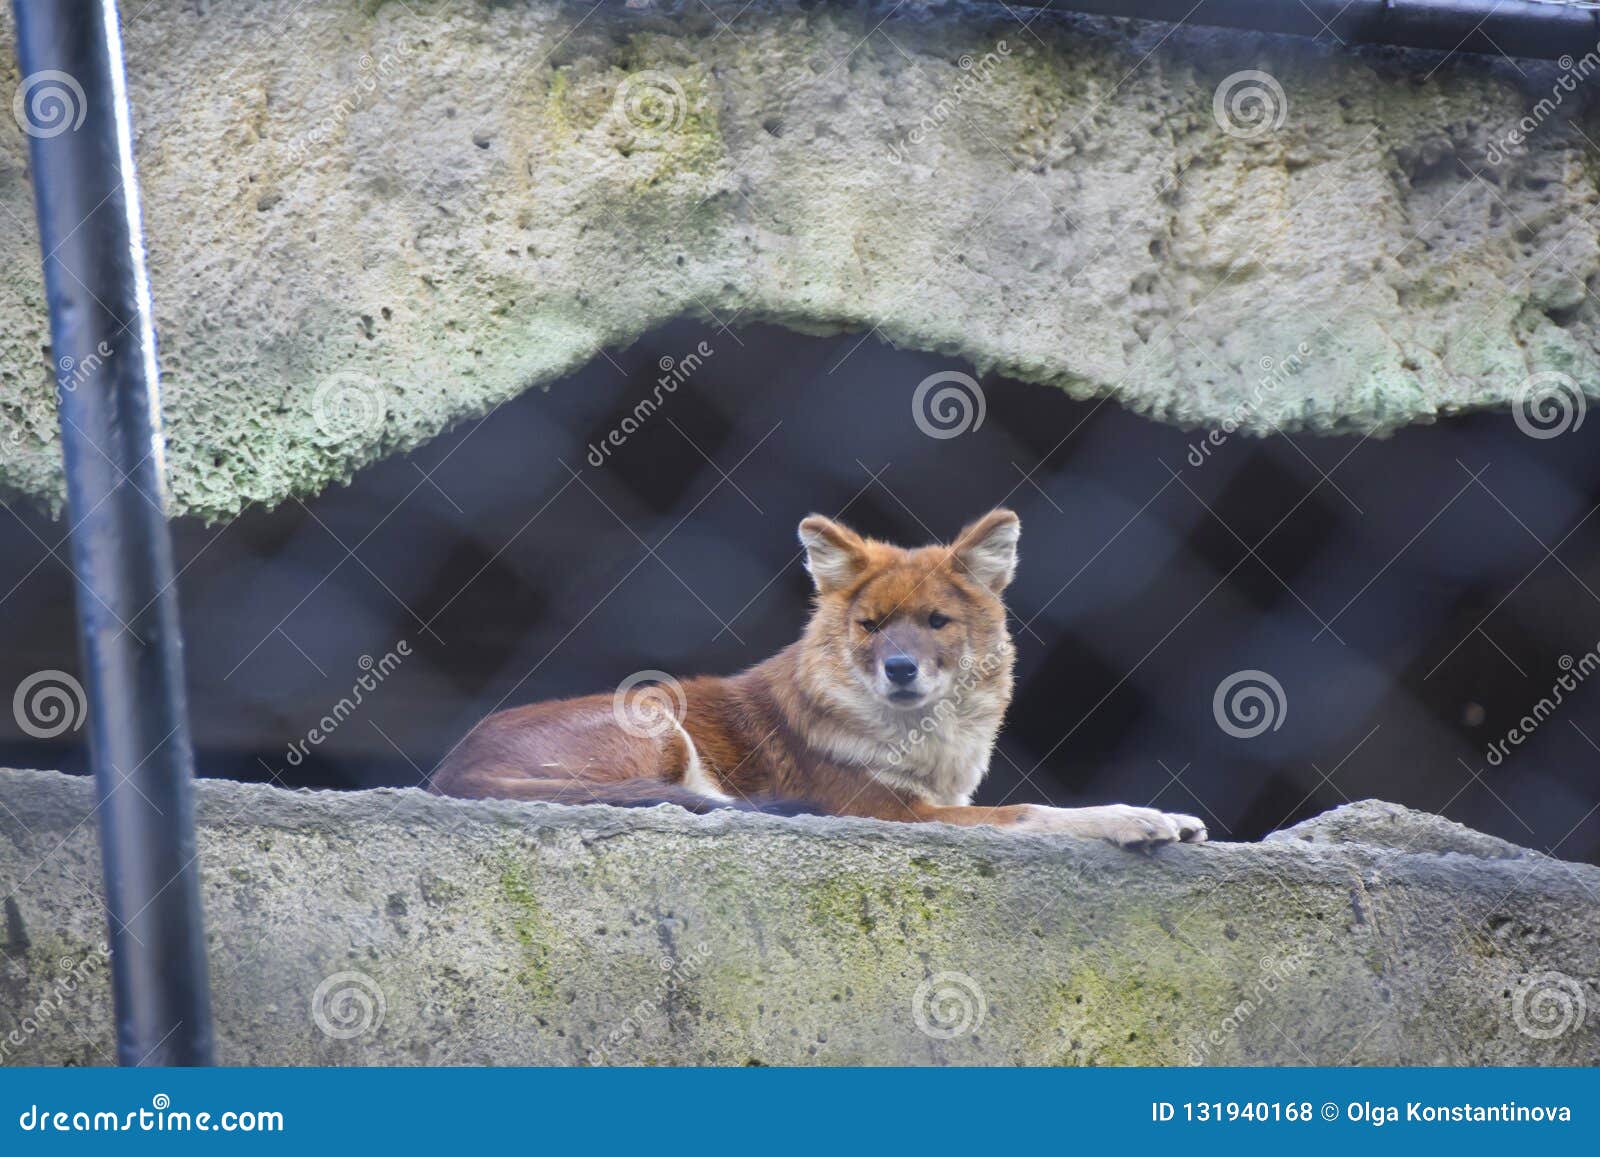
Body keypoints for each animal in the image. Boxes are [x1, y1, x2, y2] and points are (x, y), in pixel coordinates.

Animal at [431, 509, 1208, 848]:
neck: (925, 736)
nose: (900, 667)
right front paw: (1136, 817)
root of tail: (448, 767)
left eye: (937, 621)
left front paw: (1172, 817)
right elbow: (1031, 811)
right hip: (655, 719)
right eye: (870, 624)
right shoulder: (895, 812)